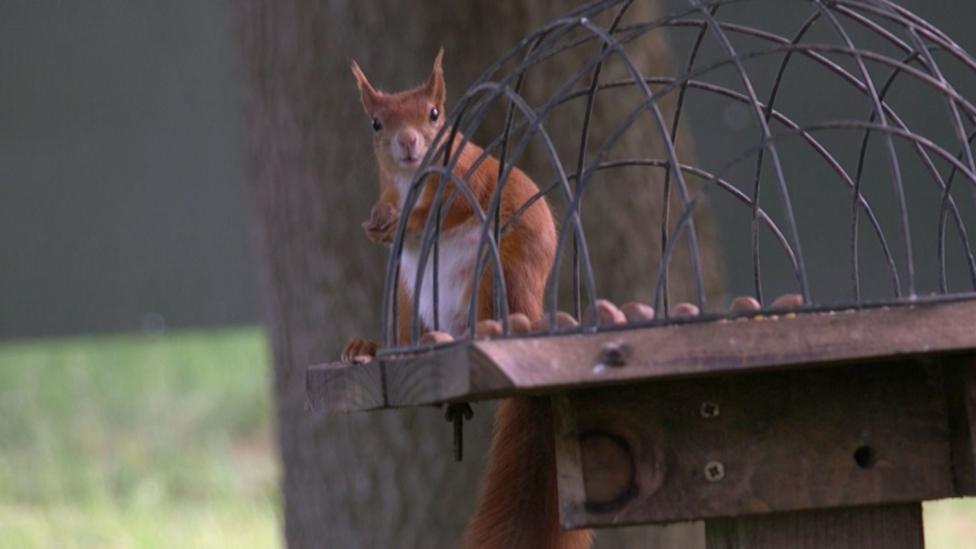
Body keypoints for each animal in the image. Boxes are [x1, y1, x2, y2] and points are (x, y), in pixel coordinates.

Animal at [342, 50, 593, 549]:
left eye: (434, 114)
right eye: (376, 123)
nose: (408, 142)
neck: (410, 181)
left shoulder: (467, 180)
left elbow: (446, 210)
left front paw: (405, 219)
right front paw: (379, 221)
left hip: (498, 275)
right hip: (408, 295)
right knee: (405, 333)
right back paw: (375, 347)